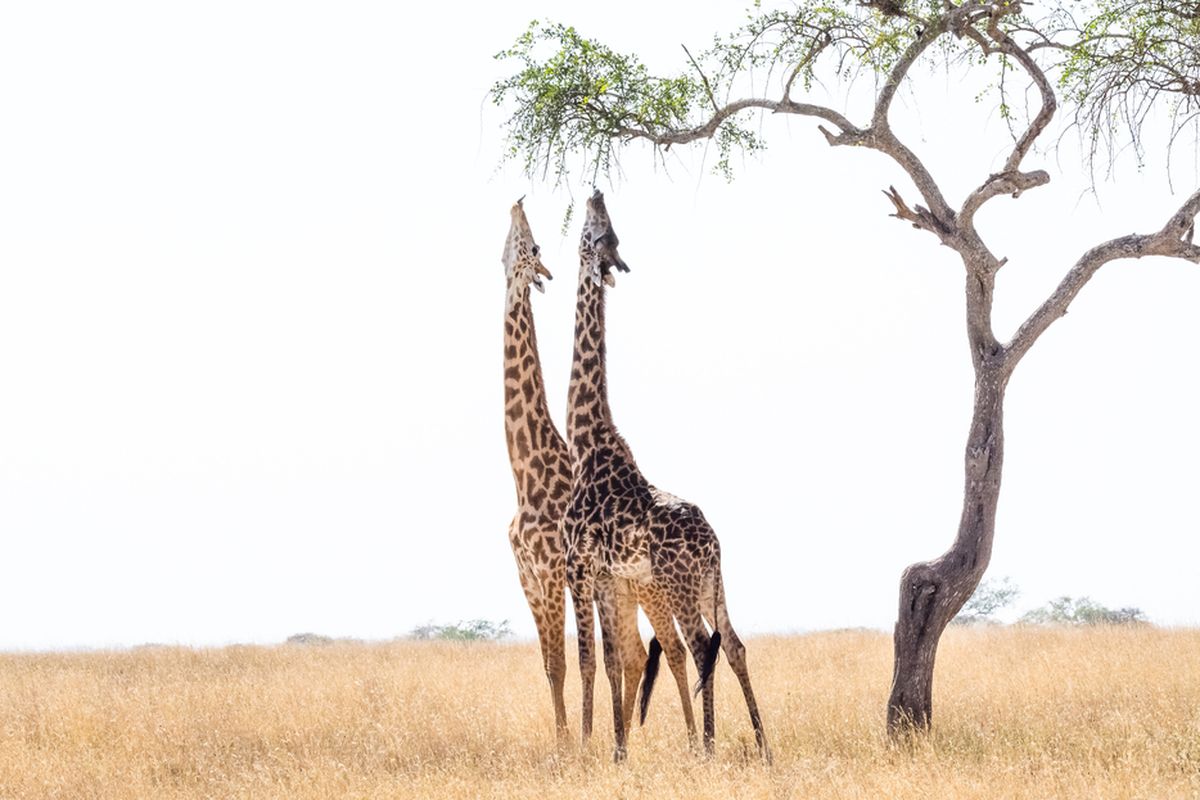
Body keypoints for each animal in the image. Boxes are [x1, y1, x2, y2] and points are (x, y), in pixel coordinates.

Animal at [501, 199, 700, 743]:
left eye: (532, 246)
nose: (517, 204)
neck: (525, 477)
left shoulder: (559, 570)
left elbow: (574, 662)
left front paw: (576, 744)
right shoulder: (531, 576)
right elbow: (553, 665)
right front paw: (572, 741)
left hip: (645, 588)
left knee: (665, 650)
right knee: (639, 654)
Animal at [561, 189, 768, 762]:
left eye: (604, 233)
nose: (595, 192)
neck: (587, 443)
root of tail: (713, 542)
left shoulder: (578, 566)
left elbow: (591, 659)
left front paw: (589, 751)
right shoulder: (609, 576)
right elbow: (612, 658)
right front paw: (615, 750)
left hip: (678, 586)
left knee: (700, 649)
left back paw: (711, 750)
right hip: (708, 585)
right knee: (733, 645)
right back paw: (762, 746)